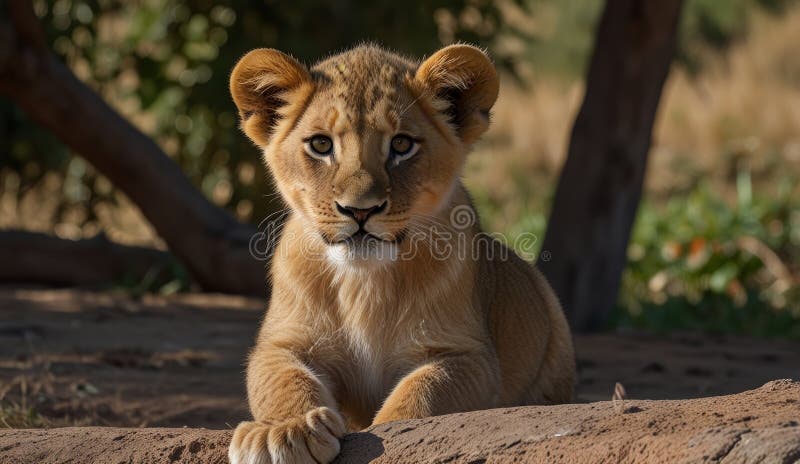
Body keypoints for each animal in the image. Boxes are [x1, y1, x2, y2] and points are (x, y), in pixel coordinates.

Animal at [227, 44, 575, 464]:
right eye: (321, 145)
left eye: (401, 145)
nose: (360, 210)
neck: (364, 282)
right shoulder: (282, 344)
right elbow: (283, 381)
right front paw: (282, 430)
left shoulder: (467, 355)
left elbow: (418, 399)